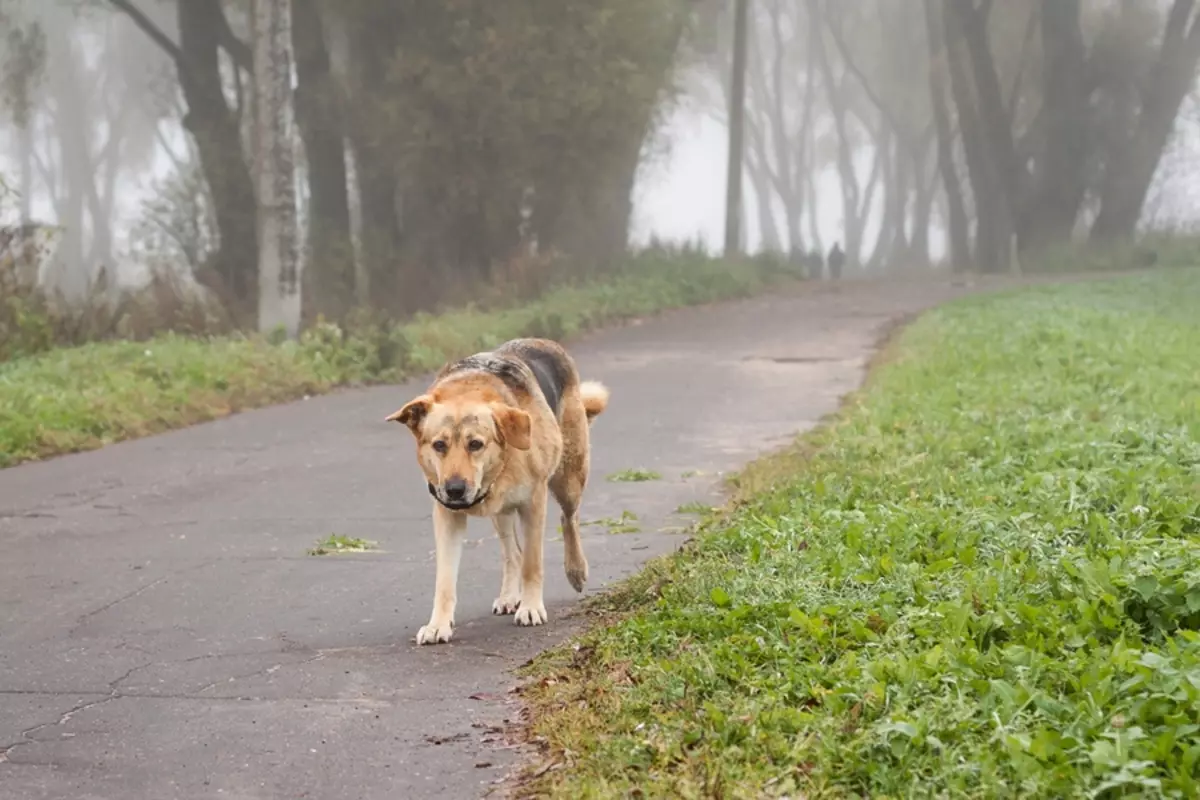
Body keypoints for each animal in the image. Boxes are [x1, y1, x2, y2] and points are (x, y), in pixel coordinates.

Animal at [384, 335, 609, 642]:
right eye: (439, 445)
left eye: (475, 444)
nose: (454, 490)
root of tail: (544, 341)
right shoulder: (447, 516)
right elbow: (445, 580)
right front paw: (438, 625)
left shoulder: (534, 503)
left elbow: (532, 564)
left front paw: (530, 607)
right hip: (500, 512)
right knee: (512, 552)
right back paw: (509, 596)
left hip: (569, 479)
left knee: (569, 519)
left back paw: (575, 570)